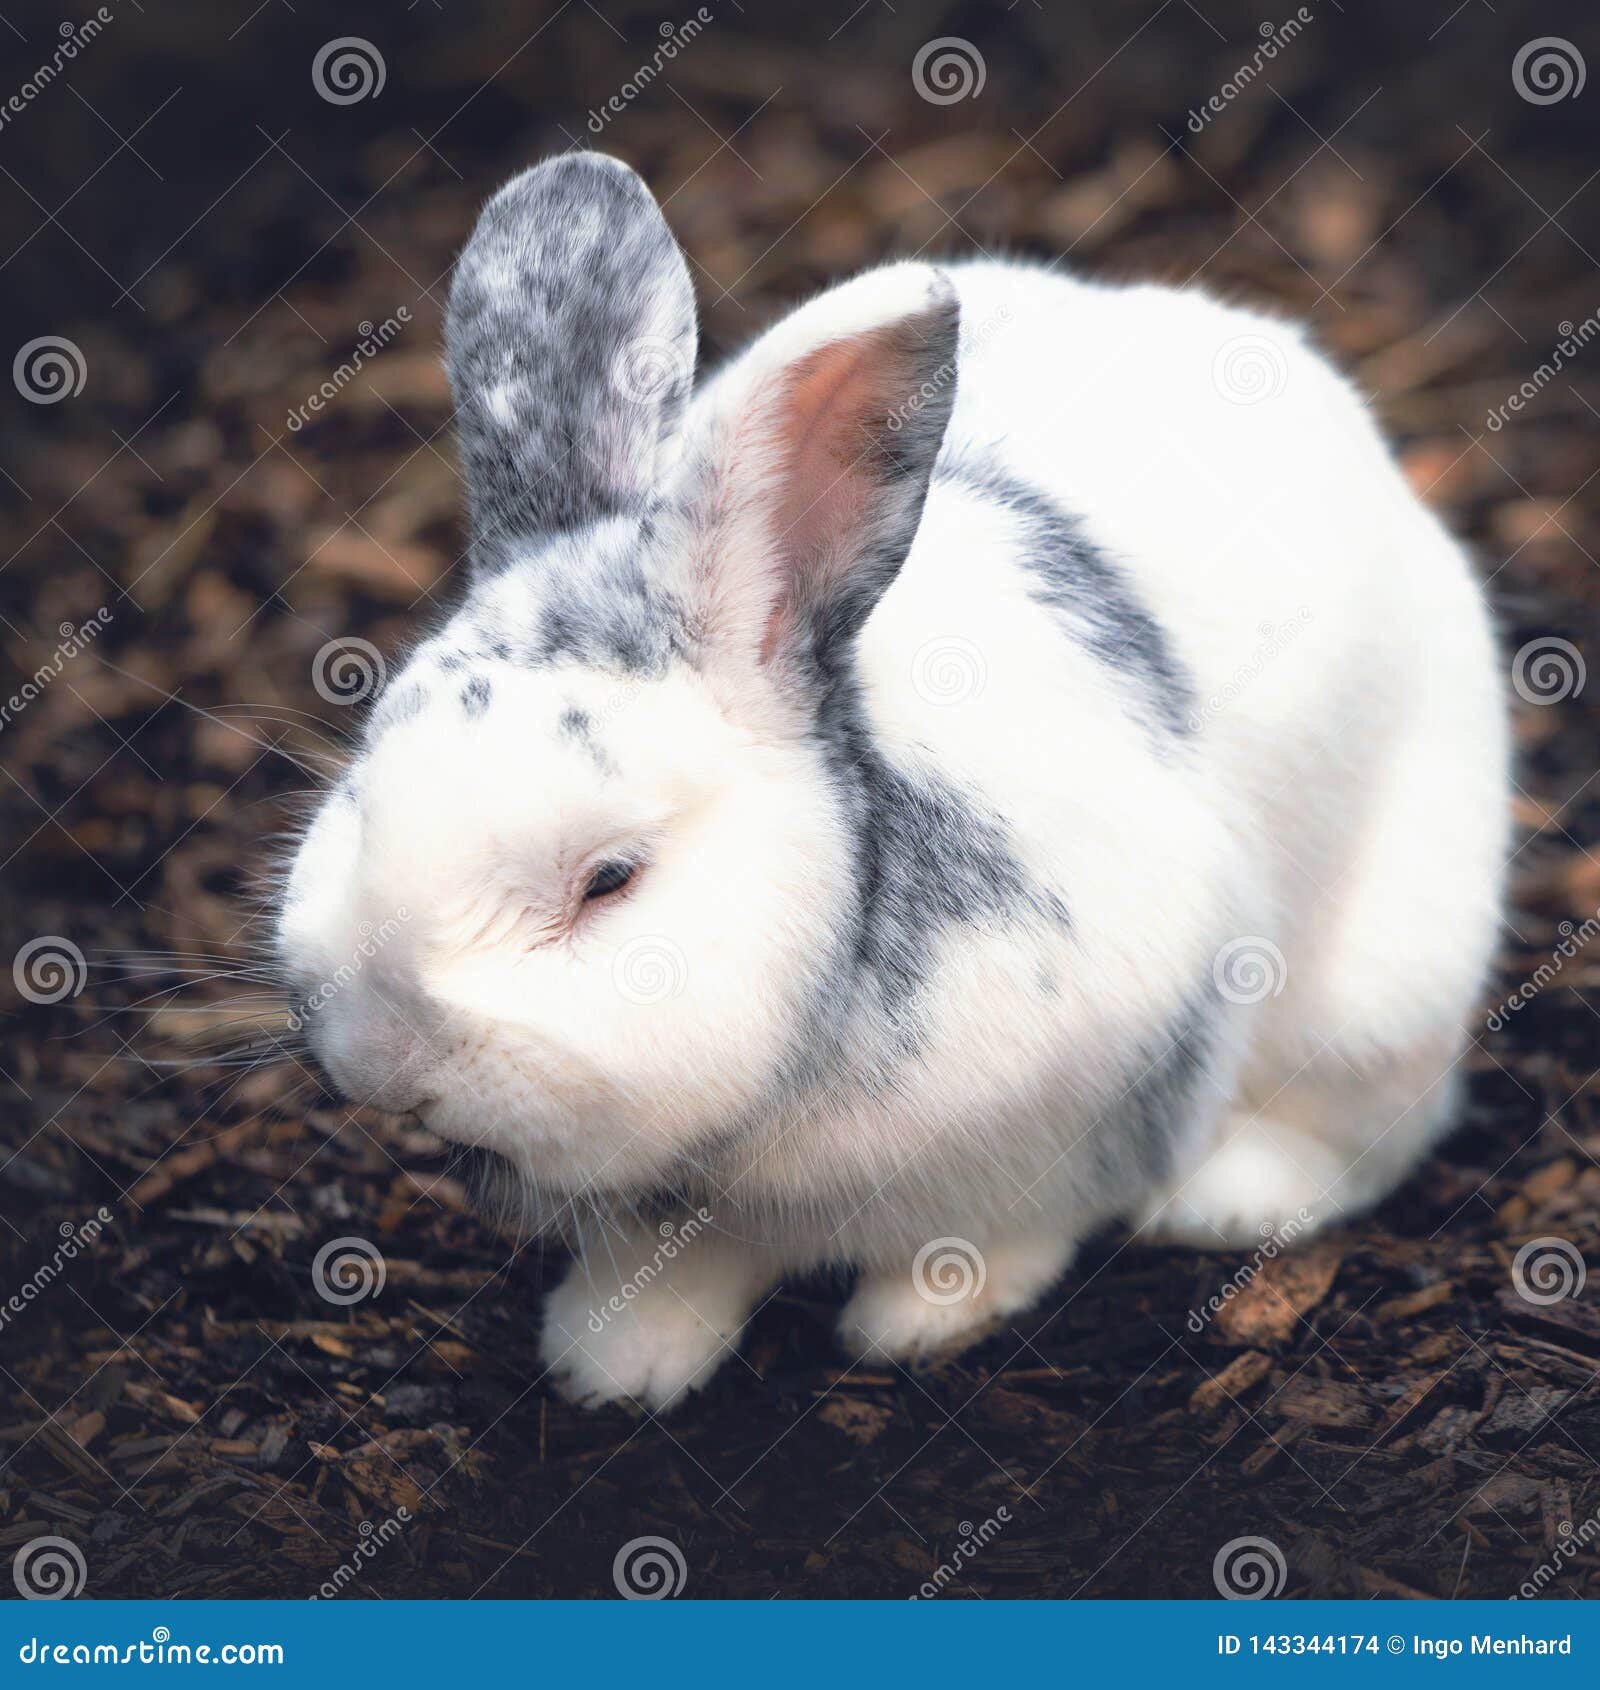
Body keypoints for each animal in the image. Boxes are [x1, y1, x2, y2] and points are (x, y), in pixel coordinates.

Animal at [276, 152, 1508, 1412]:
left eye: (610, 878)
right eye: (362, 790)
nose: (379, 1060)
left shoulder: (1079, 1104)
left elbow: (1007, 1231)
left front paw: (918, 1320)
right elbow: (665, 1266)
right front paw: (609, 1363)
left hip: (1384, 986)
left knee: (1370, 1125)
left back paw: (1229, 1195)